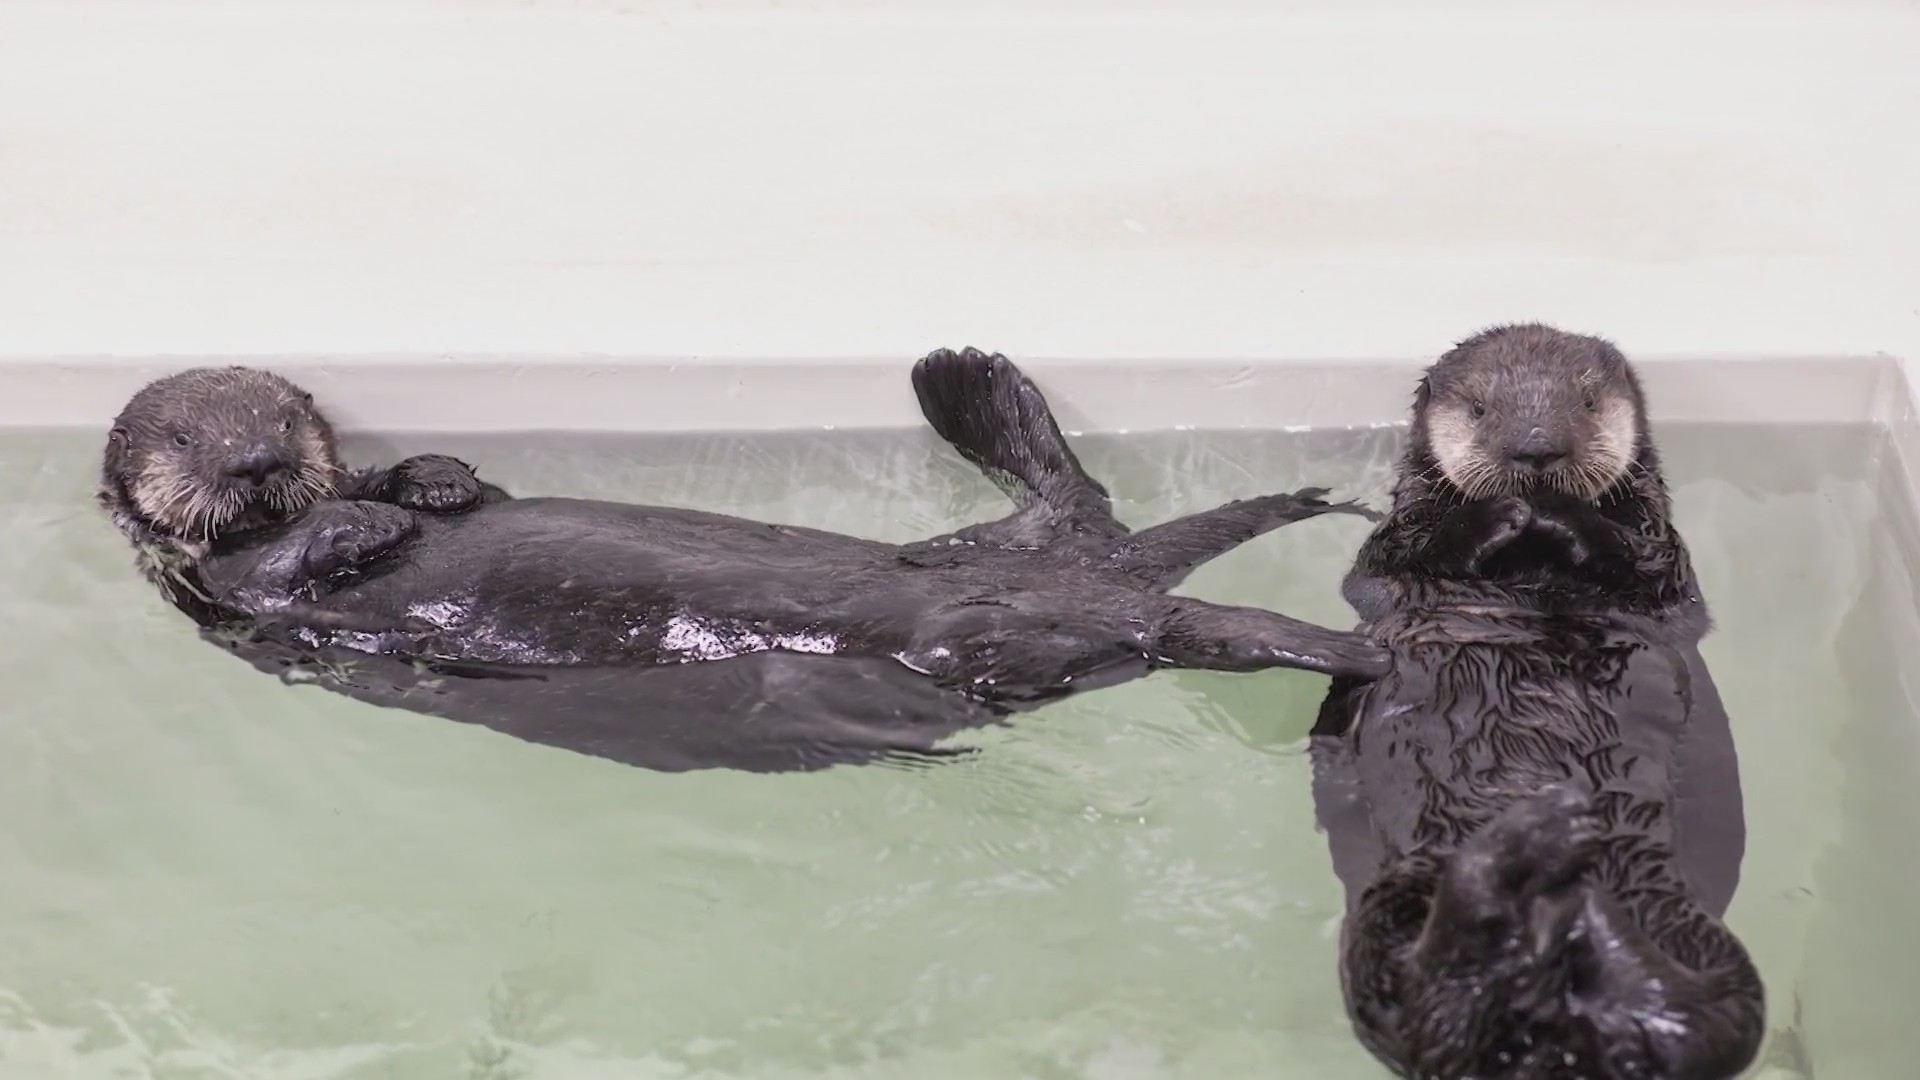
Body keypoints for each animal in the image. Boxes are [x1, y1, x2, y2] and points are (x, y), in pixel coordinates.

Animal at [101, 349, 1390, 771]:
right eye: (187, 440)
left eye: (278, 410)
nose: (260, 457)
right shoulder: (228, 596)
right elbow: (276, 571)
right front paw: (366, 526)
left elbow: (435, 487)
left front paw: (435, 483)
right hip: (998, 638)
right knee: (1177, 619)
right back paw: (1380, 644)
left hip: (990, 565)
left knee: (1085, 511)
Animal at [1307, 324, 1764, 1078]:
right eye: (1480, 409)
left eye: (1586, 402)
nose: (1536, 446)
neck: (1528, 568)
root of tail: (1551, 1028)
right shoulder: (1386, 556)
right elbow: (1384, 567)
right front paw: (1505, 513)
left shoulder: (1669, 573)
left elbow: (1654, 574)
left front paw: (1560, 512)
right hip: (1384, 916)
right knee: (1427, 1003)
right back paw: (1534, 858)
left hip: (1693, 932)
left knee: (1705, 1021)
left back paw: (1562, 880)